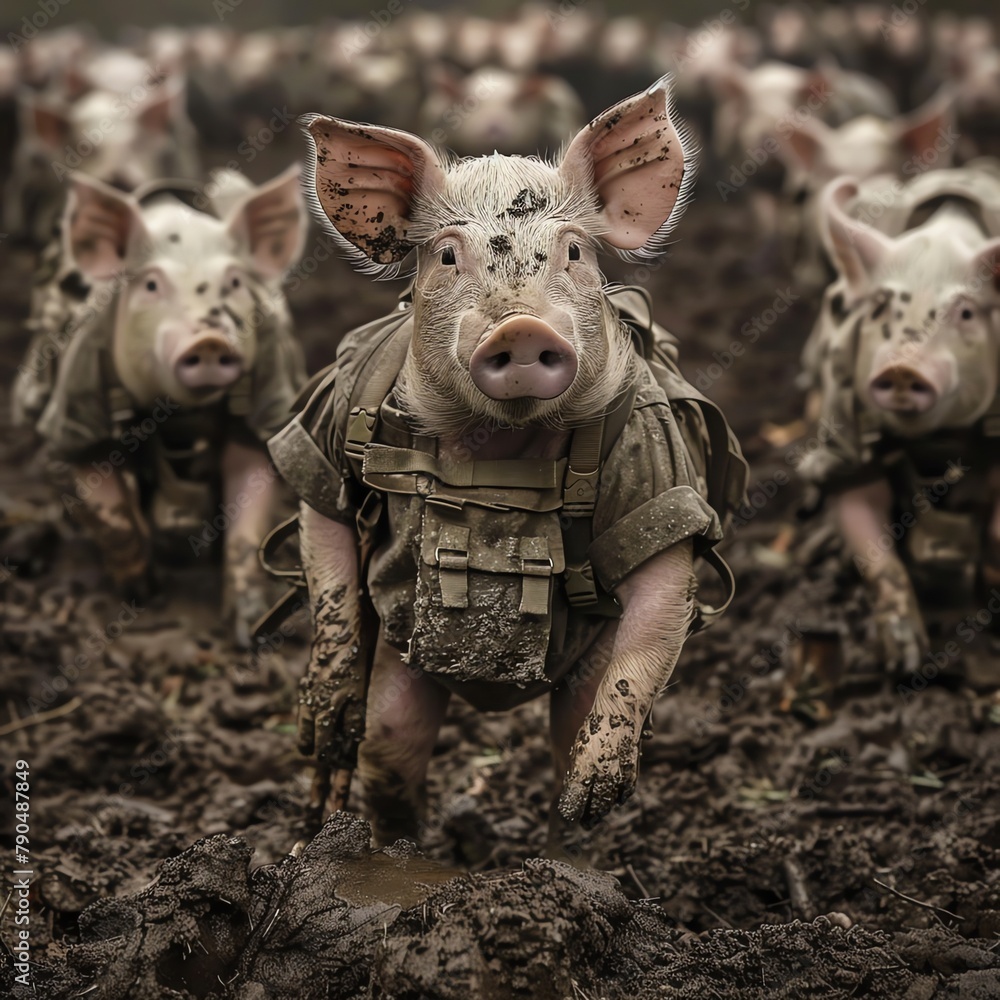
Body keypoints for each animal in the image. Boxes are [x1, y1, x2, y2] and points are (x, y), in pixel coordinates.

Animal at [35, 166, 308, 646]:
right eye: (150, 285)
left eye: (234, 283)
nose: (210, 340)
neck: (177, 411)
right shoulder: (77, 397)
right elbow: (111, 511)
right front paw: (143, 593)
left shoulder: (268, 387)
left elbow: (247, 504)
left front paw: (246, 629)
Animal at [272, 77, 746, 847]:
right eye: (446, 257)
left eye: (574, 253)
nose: (520, 328)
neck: (501, 448)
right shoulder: (337, 411)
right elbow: (328, 530)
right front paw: (324, 722)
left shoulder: (653, 457)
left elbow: (659, 590)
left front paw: (598, 787)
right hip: (405, 674)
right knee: (391, 748)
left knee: (562, 749)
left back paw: (571, 838)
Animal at [798, 169, 1000, 670]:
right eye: (880, 307)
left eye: (965, 312)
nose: (903, 368)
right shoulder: (844, 424)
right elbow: (869, 534)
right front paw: (906, 662)